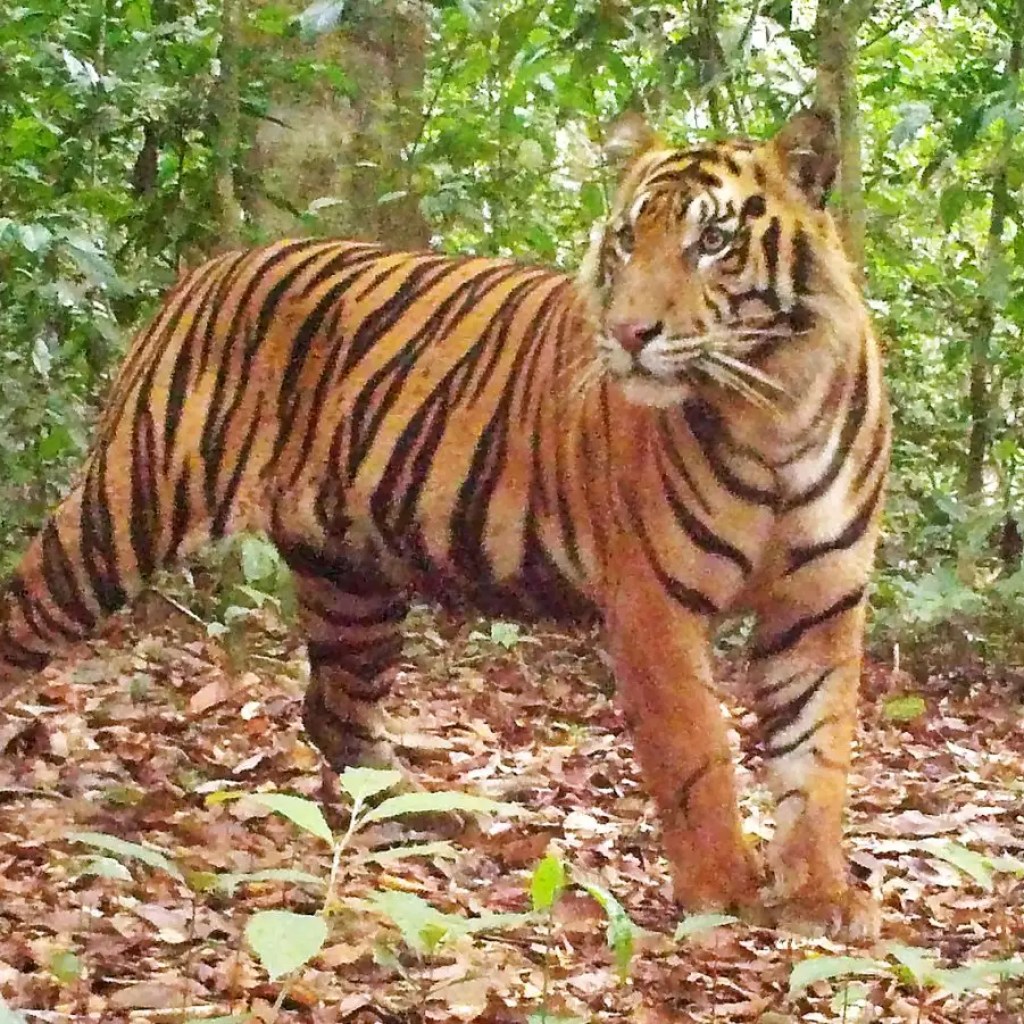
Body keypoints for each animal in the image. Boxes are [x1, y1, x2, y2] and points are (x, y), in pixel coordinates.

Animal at [0, 109, 889, 938]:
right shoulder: (654, 607)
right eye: (628, 240)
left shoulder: (819, 607)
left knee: (335, 708)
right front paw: (724, 892)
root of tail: (212, 266)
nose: (628, 334)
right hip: (126, 515)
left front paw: (820, 897)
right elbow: (698, 751)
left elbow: (818, 759)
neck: (775, 407)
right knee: (24, 610)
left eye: (712, 241)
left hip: (352, 579)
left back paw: (408, 814)